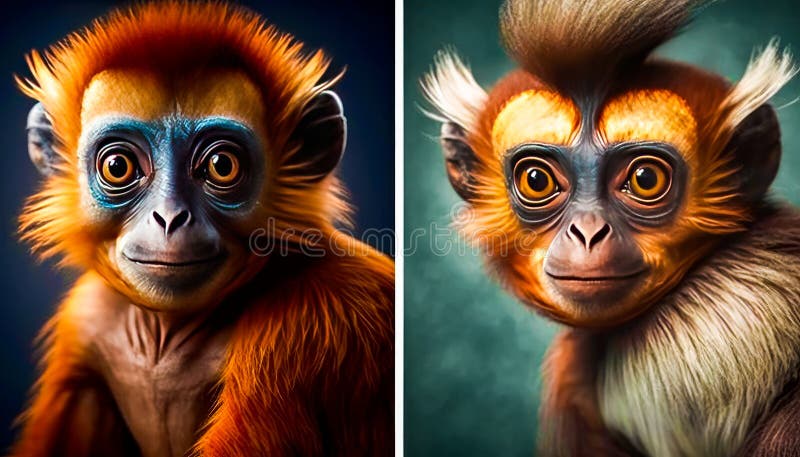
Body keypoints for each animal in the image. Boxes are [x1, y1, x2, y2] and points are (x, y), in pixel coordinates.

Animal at [11, 2, 394, 457]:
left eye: (221, 165)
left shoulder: (304, 328)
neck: (166, 338)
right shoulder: (87, 319)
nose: (169, 217)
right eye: (118, 166)